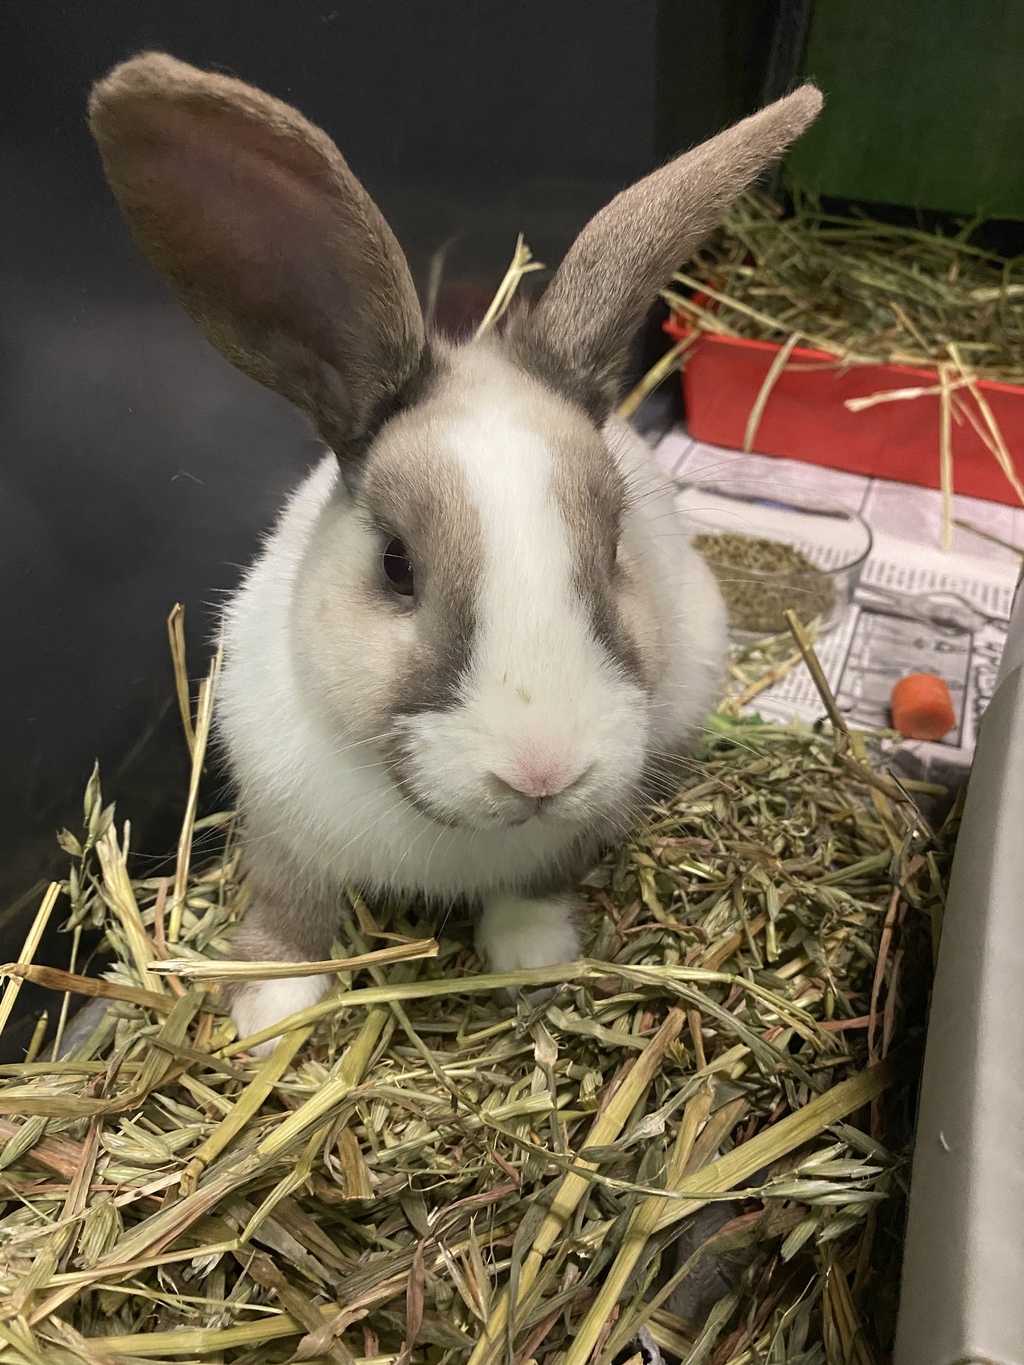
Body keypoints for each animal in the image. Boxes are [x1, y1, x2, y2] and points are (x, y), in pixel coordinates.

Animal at [88, 53, 822, 1053]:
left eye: (615, 545)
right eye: (396, 564)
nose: (544, 772)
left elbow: (534, 886)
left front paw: (534, 954)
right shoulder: (277, 821)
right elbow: (288, 907)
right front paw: (269, 1013)